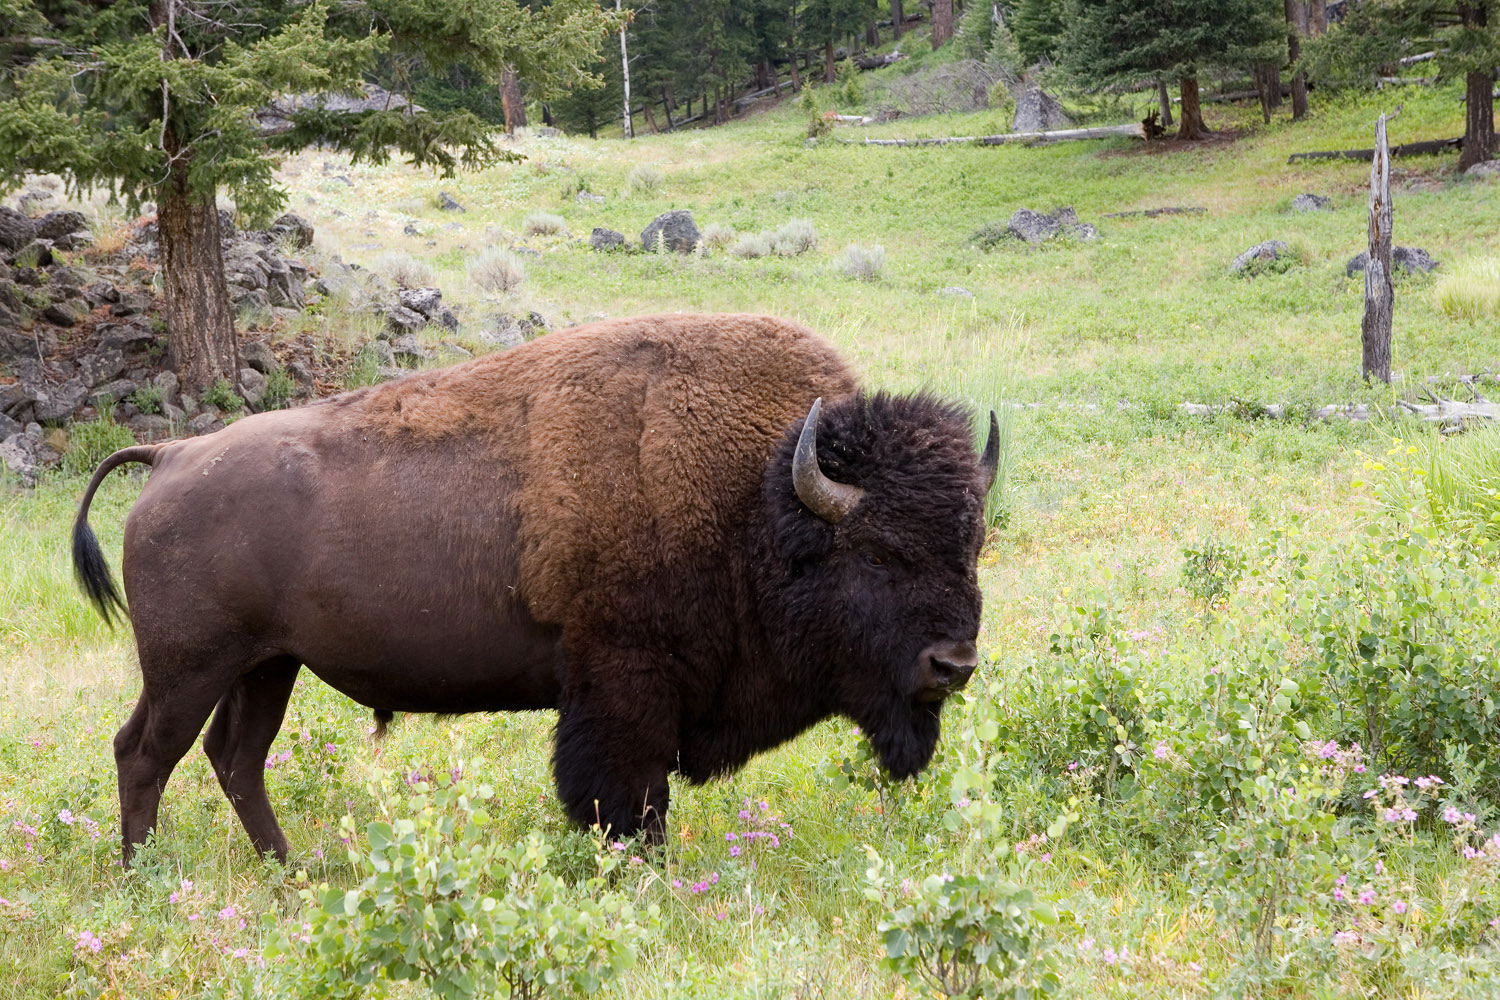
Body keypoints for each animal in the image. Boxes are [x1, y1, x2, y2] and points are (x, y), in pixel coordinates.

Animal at [73, 313, 997, 864]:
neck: (758, 501)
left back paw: (289, 869)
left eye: (972, 543)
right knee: (144, 752)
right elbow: (626, 798)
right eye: (876, 555)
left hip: (268, 666)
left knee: (236, 758)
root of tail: (172, 456)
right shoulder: (623, 689)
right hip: (191, 667)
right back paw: (145, 877)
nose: (953, 664)